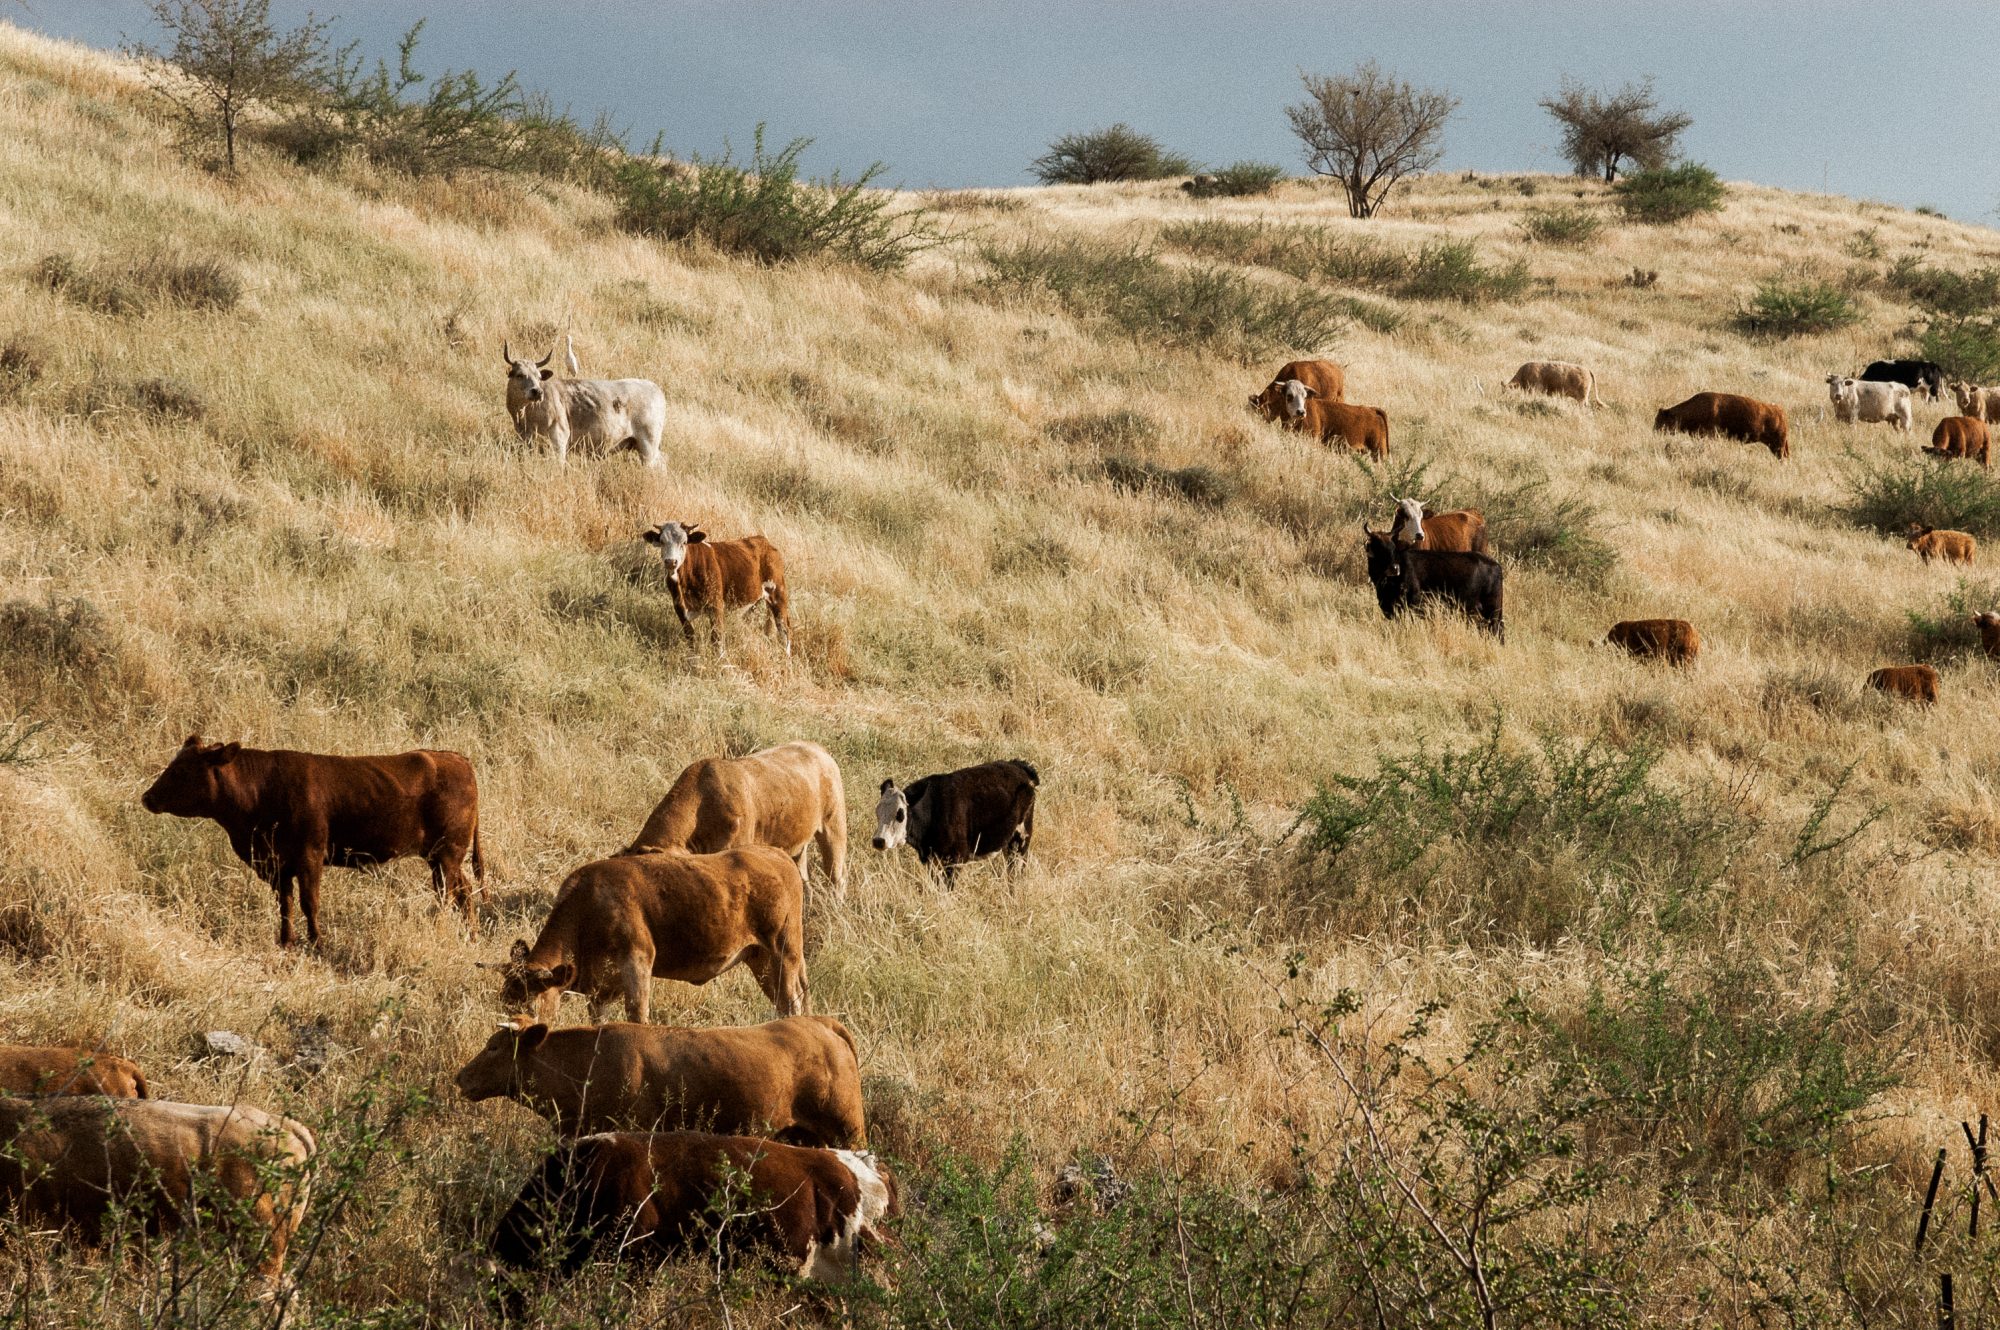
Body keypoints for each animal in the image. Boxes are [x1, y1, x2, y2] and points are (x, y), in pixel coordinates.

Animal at [140, 737, 483, 948]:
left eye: (182, 770)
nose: (147, 797)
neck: (263, 790)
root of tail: (457, 758)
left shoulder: (310, 856)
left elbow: (309, 902)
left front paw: (318, 942)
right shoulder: (278, 865)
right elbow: (286, 904)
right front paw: (286, 941)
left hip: (448, 855)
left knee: (456, 894)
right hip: (438, 858)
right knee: (457, 892)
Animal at [491, 846, 807, 1025]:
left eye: (531, 1006)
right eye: (504, 1001)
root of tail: (779, 856)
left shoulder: (638, 964)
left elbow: (637, 1016)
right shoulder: (599, 990)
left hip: (784, 952)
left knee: (791, 1004)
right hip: (761, 961)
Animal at [502, 341, 665, 466]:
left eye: (539, 376)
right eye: (520, 375)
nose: (537, 392)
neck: (525, 416)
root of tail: (655, 387)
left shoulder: (559, 437)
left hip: (648, 445)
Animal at [640, 522, 793, 657]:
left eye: (684, 542)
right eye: (662, 541)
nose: (671, 562)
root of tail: (764, 541)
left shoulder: (716, 604)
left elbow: (717, 637)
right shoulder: (679, 607)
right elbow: (690, 636)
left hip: (778, 593)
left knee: (784, 629)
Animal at [872, 760, 1038, 880]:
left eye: (900, 814)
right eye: (877, 811)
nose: (879, 841)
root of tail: (1018, 765)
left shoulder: (955, 859)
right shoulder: (931, 861)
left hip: (1021, 840)